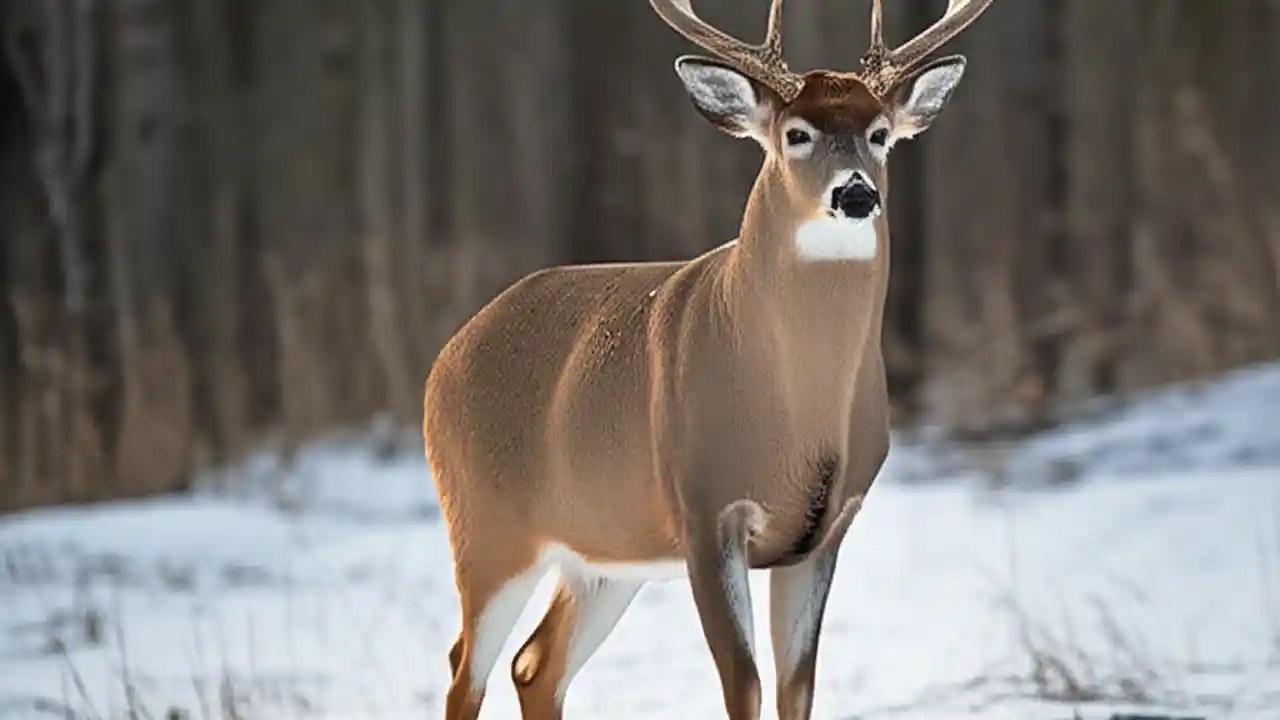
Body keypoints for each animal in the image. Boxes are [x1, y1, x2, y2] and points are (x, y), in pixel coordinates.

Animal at [424, 1, 993, 718]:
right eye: (796, 133)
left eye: (881, 134)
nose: (857, 194)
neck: (798, 411)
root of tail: (443, 361)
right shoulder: (705, 509)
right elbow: (743, 682)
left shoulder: (826, 530)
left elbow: (797, 685)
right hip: (485, 527)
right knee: (463, 666)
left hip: (606, 554)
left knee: (534, 664)